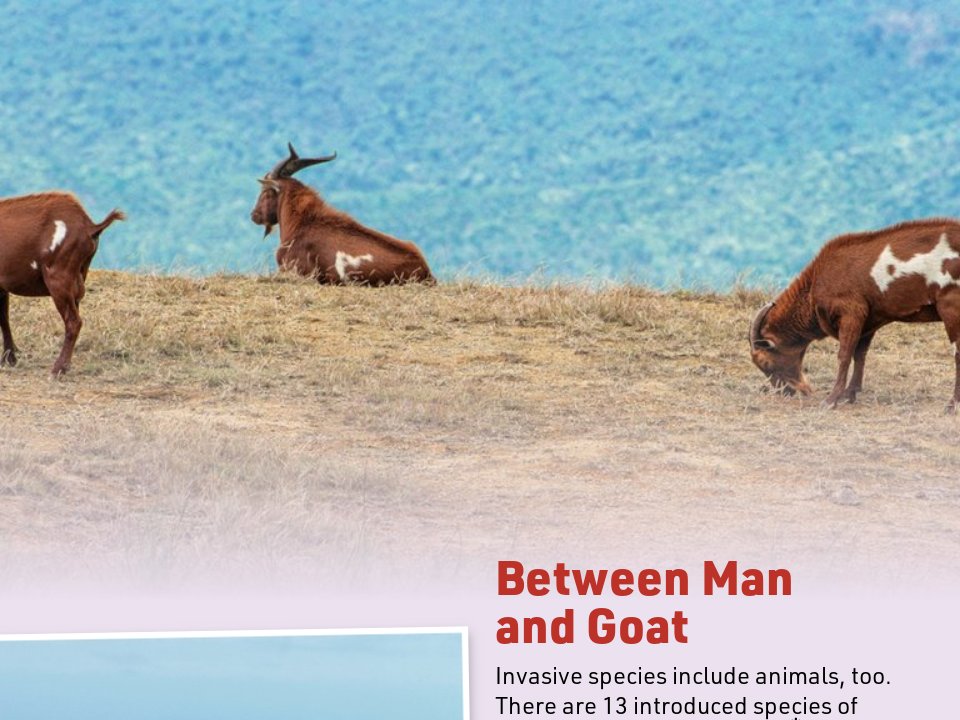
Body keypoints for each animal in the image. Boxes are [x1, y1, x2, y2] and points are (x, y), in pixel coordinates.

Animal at [0, 192, 125, 376]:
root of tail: (89, 227)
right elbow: (4, 317)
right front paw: (9, 359)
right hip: (78, 276)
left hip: (58, 278)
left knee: (74, 322)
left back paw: (58, 368)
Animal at [749, 218, 960, 411]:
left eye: (765, 363)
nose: (787, 392)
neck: (817, 280)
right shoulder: (871, 320)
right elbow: (860, 354)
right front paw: (850, 394)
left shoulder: (851, 313)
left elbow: (844, 355)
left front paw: (831, 399)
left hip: (951, 307)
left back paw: (952, 404)